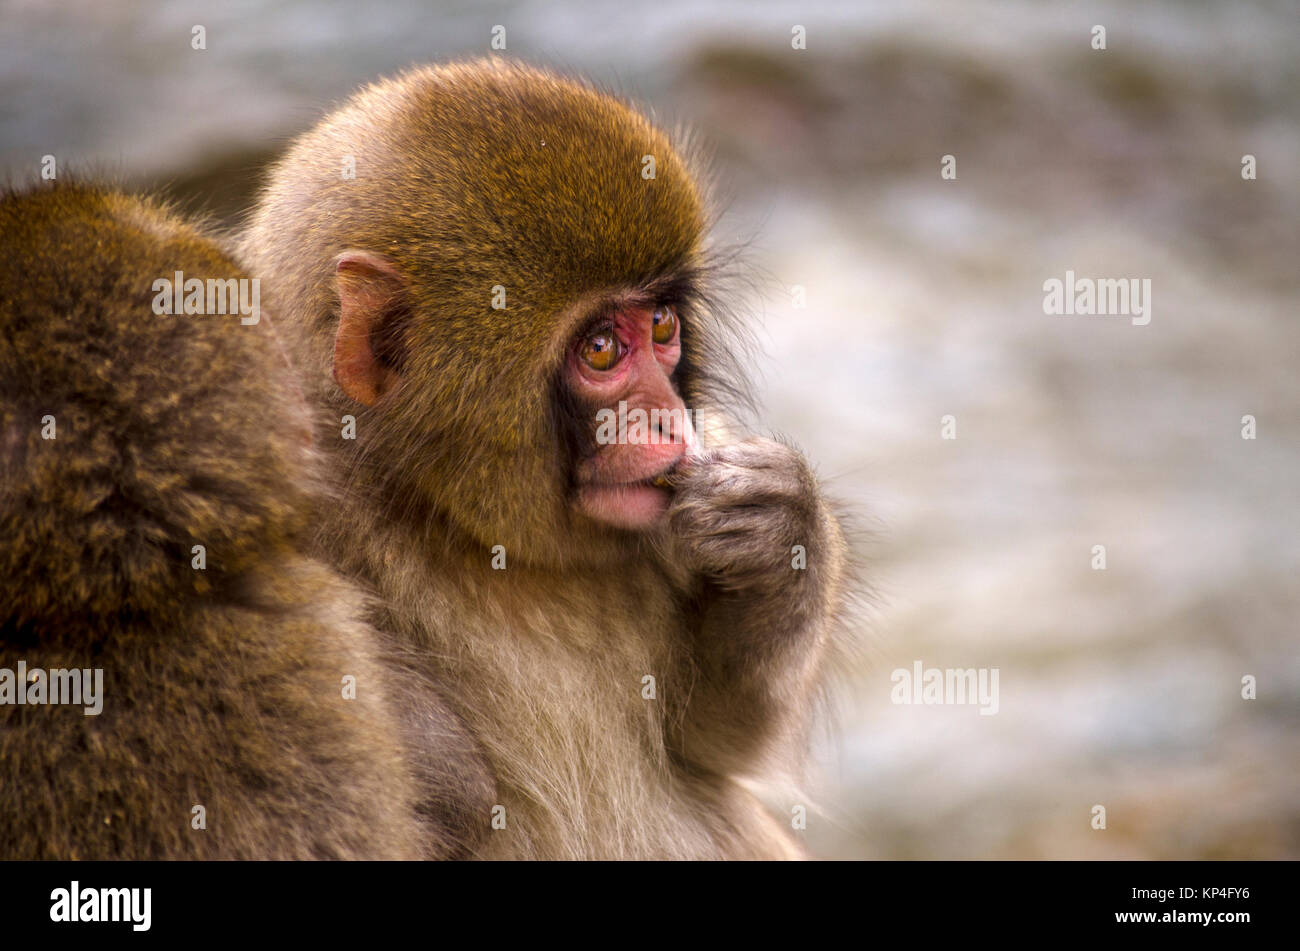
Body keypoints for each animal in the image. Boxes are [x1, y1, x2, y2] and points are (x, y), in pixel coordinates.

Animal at [239, 59, 852, 859]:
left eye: (661, 325)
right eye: (602, 348)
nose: (670, 418)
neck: (454, 525)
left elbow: (714, 739)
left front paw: (783, 528)